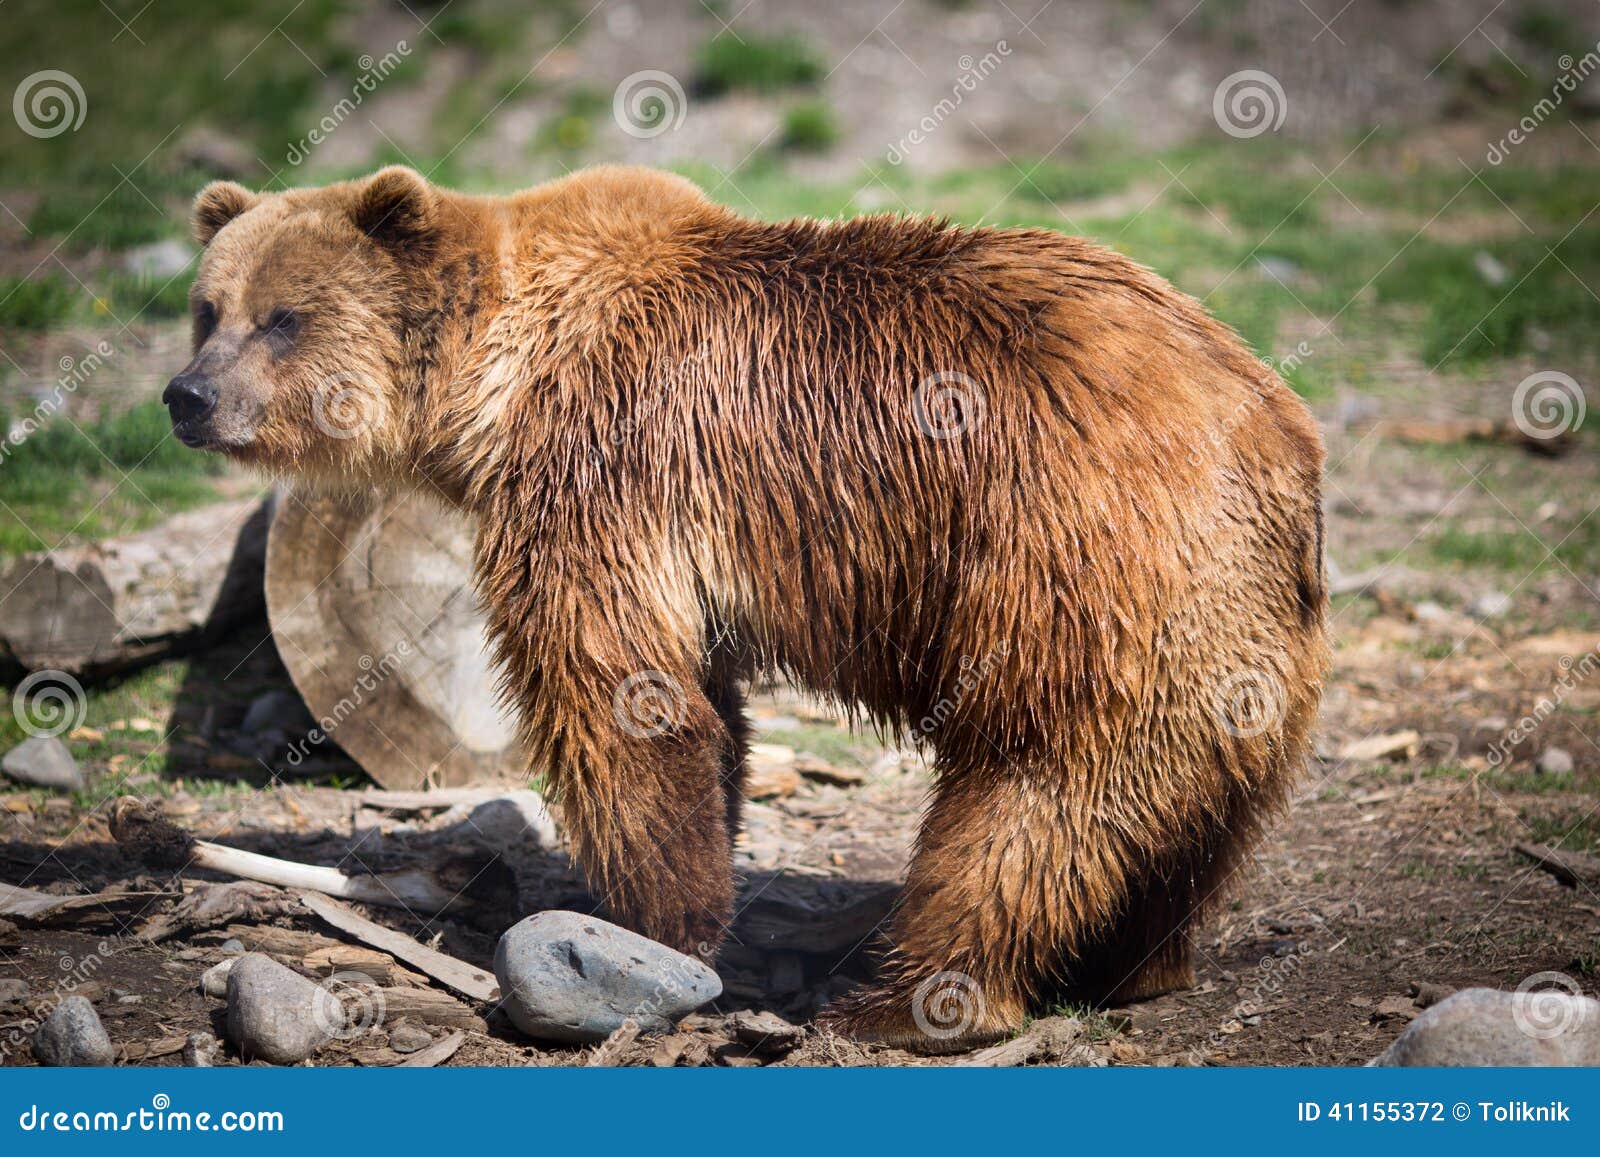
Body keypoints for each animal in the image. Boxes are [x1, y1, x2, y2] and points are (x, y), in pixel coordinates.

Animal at [165, 164, 1327, 1053]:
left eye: (283, 318)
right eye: (208, 310)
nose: (188, 395)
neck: (496, 379)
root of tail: (1270, 424)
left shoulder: (602, 462)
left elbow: (620, 698)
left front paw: (650, 925)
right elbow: (701, 703)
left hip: (1067, 560)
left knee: (1029, 792)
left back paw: (902, 1000)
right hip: (1247, 640)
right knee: (1195, 814)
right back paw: (1136, 965)